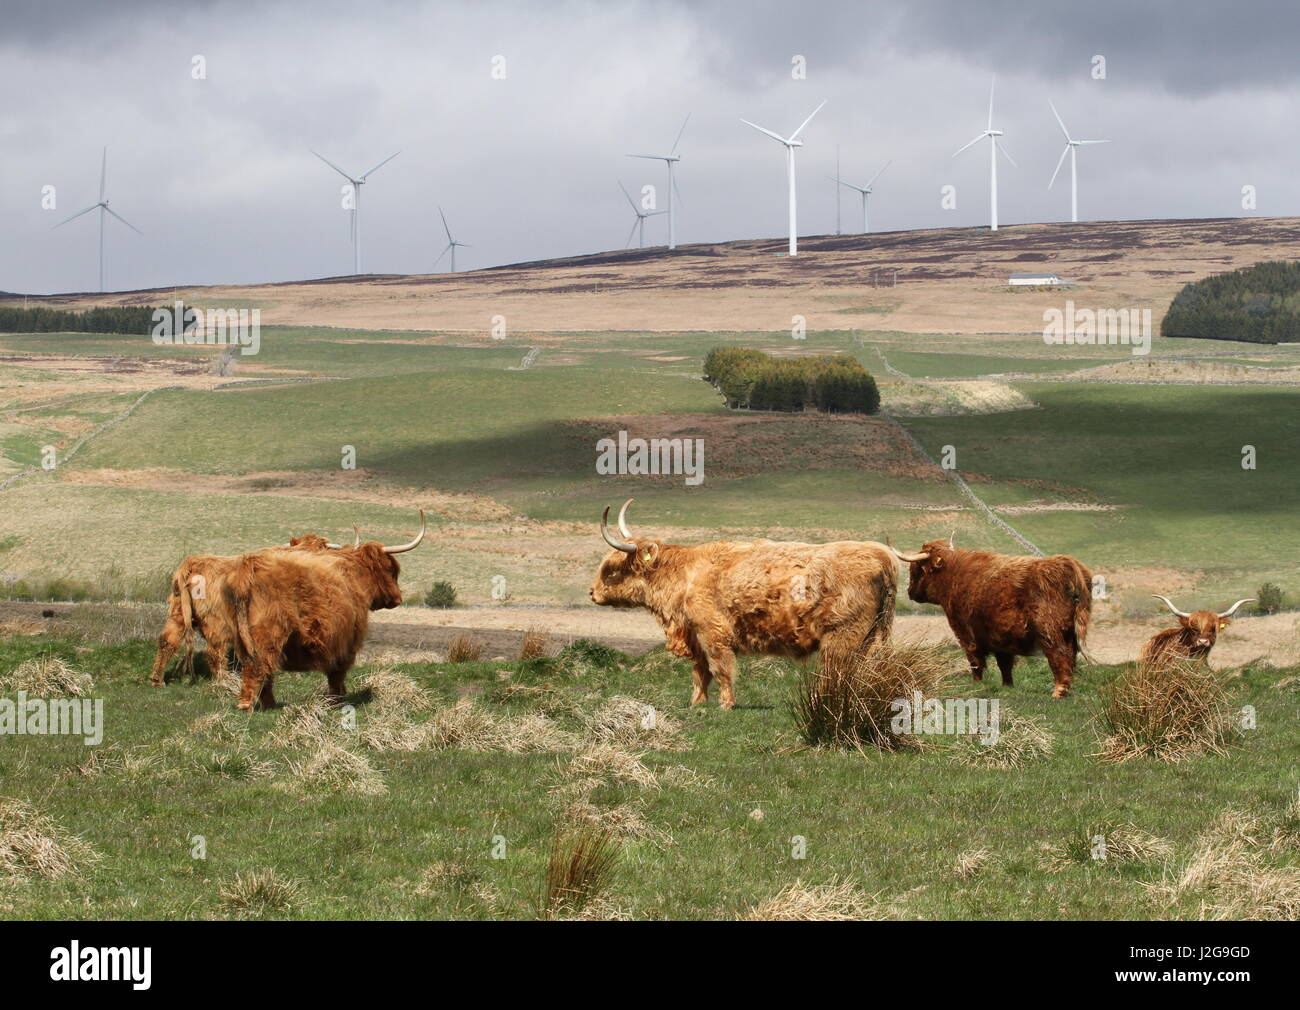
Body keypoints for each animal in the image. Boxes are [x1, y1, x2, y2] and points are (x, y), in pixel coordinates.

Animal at [149, 528, 361, 693]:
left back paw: (157, 680)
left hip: (178, 614)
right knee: (214, 651)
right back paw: (225, 681)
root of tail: (192, 562)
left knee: (167, 641)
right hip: (215, 620)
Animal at [225, 511, 426, 711]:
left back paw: (269, 705)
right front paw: (336, 701)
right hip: (267, 635)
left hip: (243, 639)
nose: (398, 599)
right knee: (259, 668)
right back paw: (248, 705)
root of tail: (251, 566)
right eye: (392, 569)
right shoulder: (346, 643)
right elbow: (337, 674)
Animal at [588, 499, 918, 709]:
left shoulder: (713, 633)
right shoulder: (696, 636)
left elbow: (720, 669)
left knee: (836, 673)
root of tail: (881, 555)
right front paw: (697, 703)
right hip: (874, 634)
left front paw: (726, 704)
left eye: (612, 569)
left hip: (843, 636)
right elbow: (699, 672)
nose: (591, 593)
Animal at [904, 537, 1092, 698]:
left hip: (1050, 631)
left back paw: (1057, 692)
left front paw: (976, 684)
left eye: (917, 569)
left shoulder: (965, 633)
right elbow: (1004, 665)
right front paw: (1007, 686)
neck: (953, 577)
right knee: (1071, 658)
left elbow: (975, 662)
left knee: (1060, 658)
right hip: (1069, 634)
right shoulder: (1000, 638)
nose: (909, 591)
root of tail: (1065, 563)